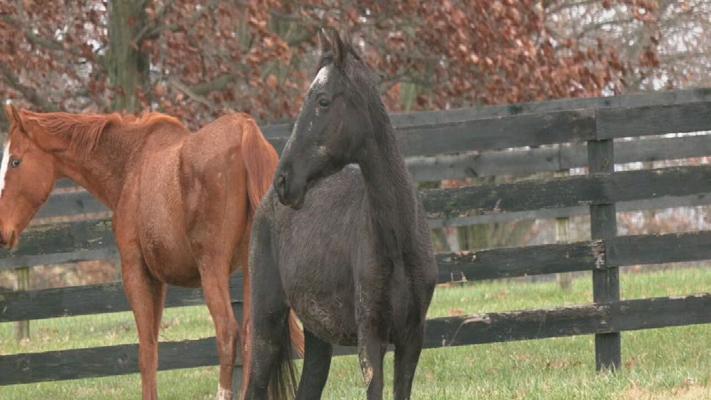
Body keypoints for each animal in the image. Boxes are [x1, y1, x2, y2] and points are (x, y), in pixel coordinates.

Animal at [0, 106, 304, 400]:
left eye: (15, 161)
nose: (2, 231)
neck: (131, 162)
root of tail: (244, 131)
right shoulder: (159, 282)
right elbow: (154, 348)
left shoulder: (137, 273)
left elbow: (146, 350)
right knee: (254, 336)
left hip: (212, 270)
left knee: (227, 332)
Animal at [244, 30, 438, 400]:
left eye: (322, 100)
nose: (284, 180)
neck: (398, 239)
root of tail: (266, 205)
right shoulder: (371, 338)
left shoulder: (411, 340)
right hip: (266, 325)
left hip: (317, 338)